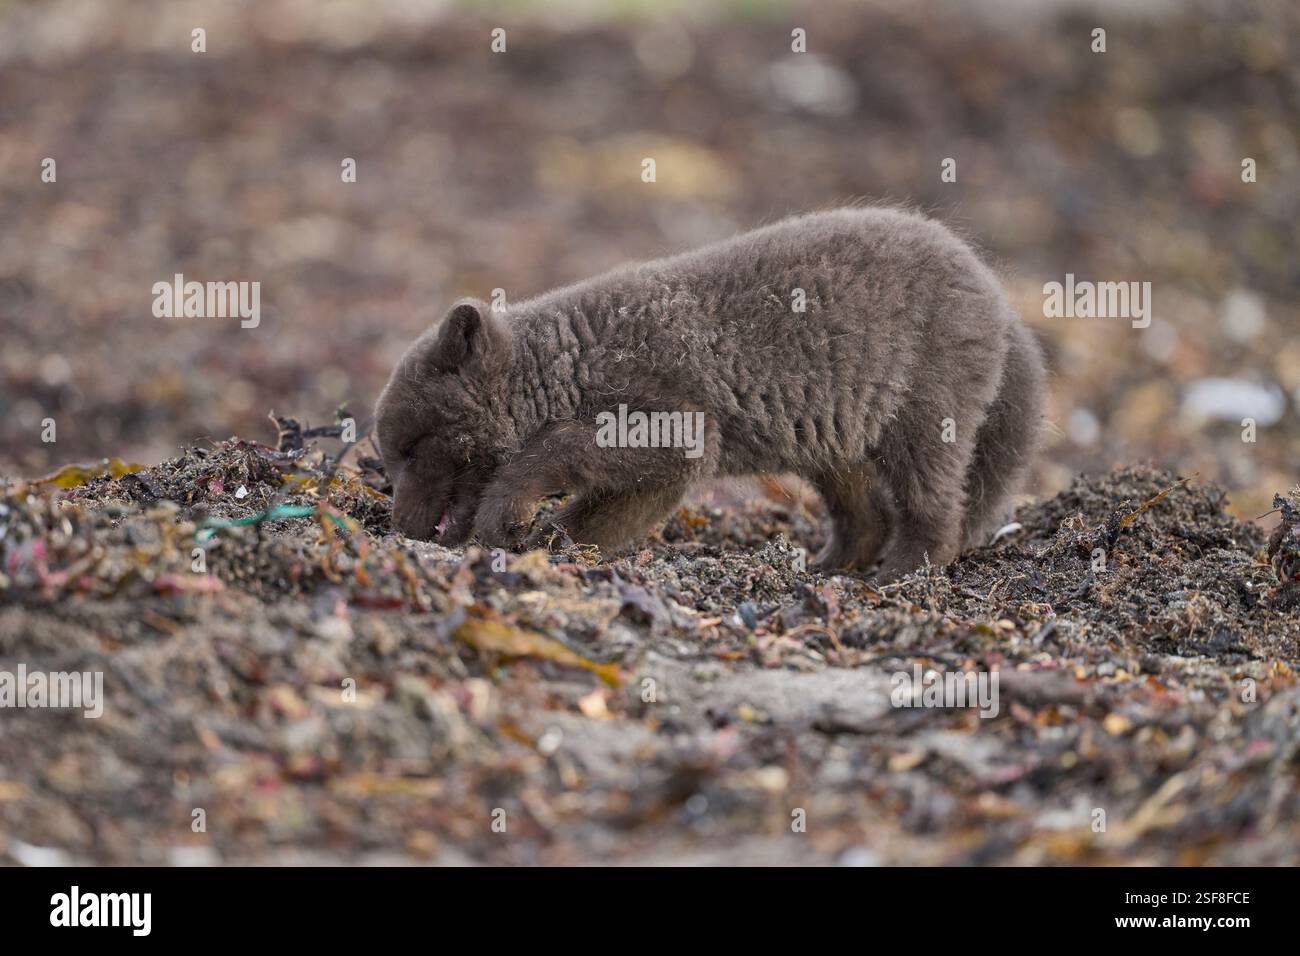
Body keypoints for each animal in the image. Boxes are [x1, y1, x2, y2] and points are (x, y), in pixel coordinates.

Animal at [374, 207, 1045, 580]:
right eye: (390, 452)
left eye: (410, 447)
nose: (398, 524)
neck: (570, 367)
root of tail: (1003, 303)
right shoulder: (669, 470)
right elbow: (609, 514)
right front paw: (550, 543)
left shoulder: (677, 420)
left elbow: (561, 448)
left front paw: (509, 515)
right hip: (835, 435)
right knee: (866, 511)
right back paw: (830, 565)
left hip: (927, 404)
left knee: (934, 499)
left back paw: (904, 573)